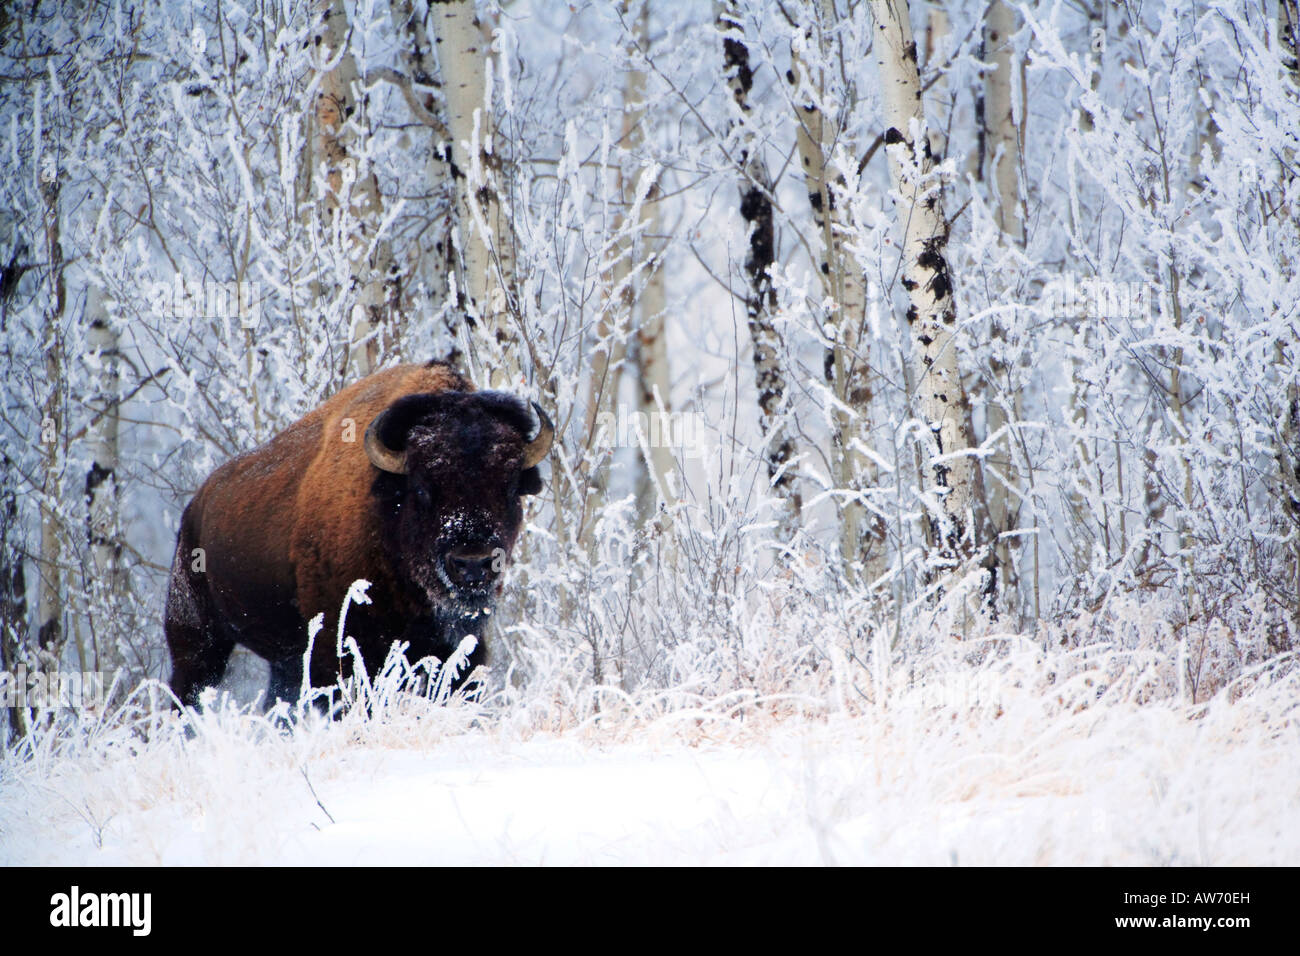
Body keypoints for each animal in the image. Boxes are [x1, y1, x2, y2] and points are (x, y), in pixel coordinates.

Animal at [164, 360, 552, 708]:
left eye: (510, 488)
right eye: (422, 488)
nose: (473, 563)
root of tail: (195, 507)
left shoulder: (462, 646)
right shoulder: (342, 654)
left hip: (282, 661)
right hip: (197, 640)